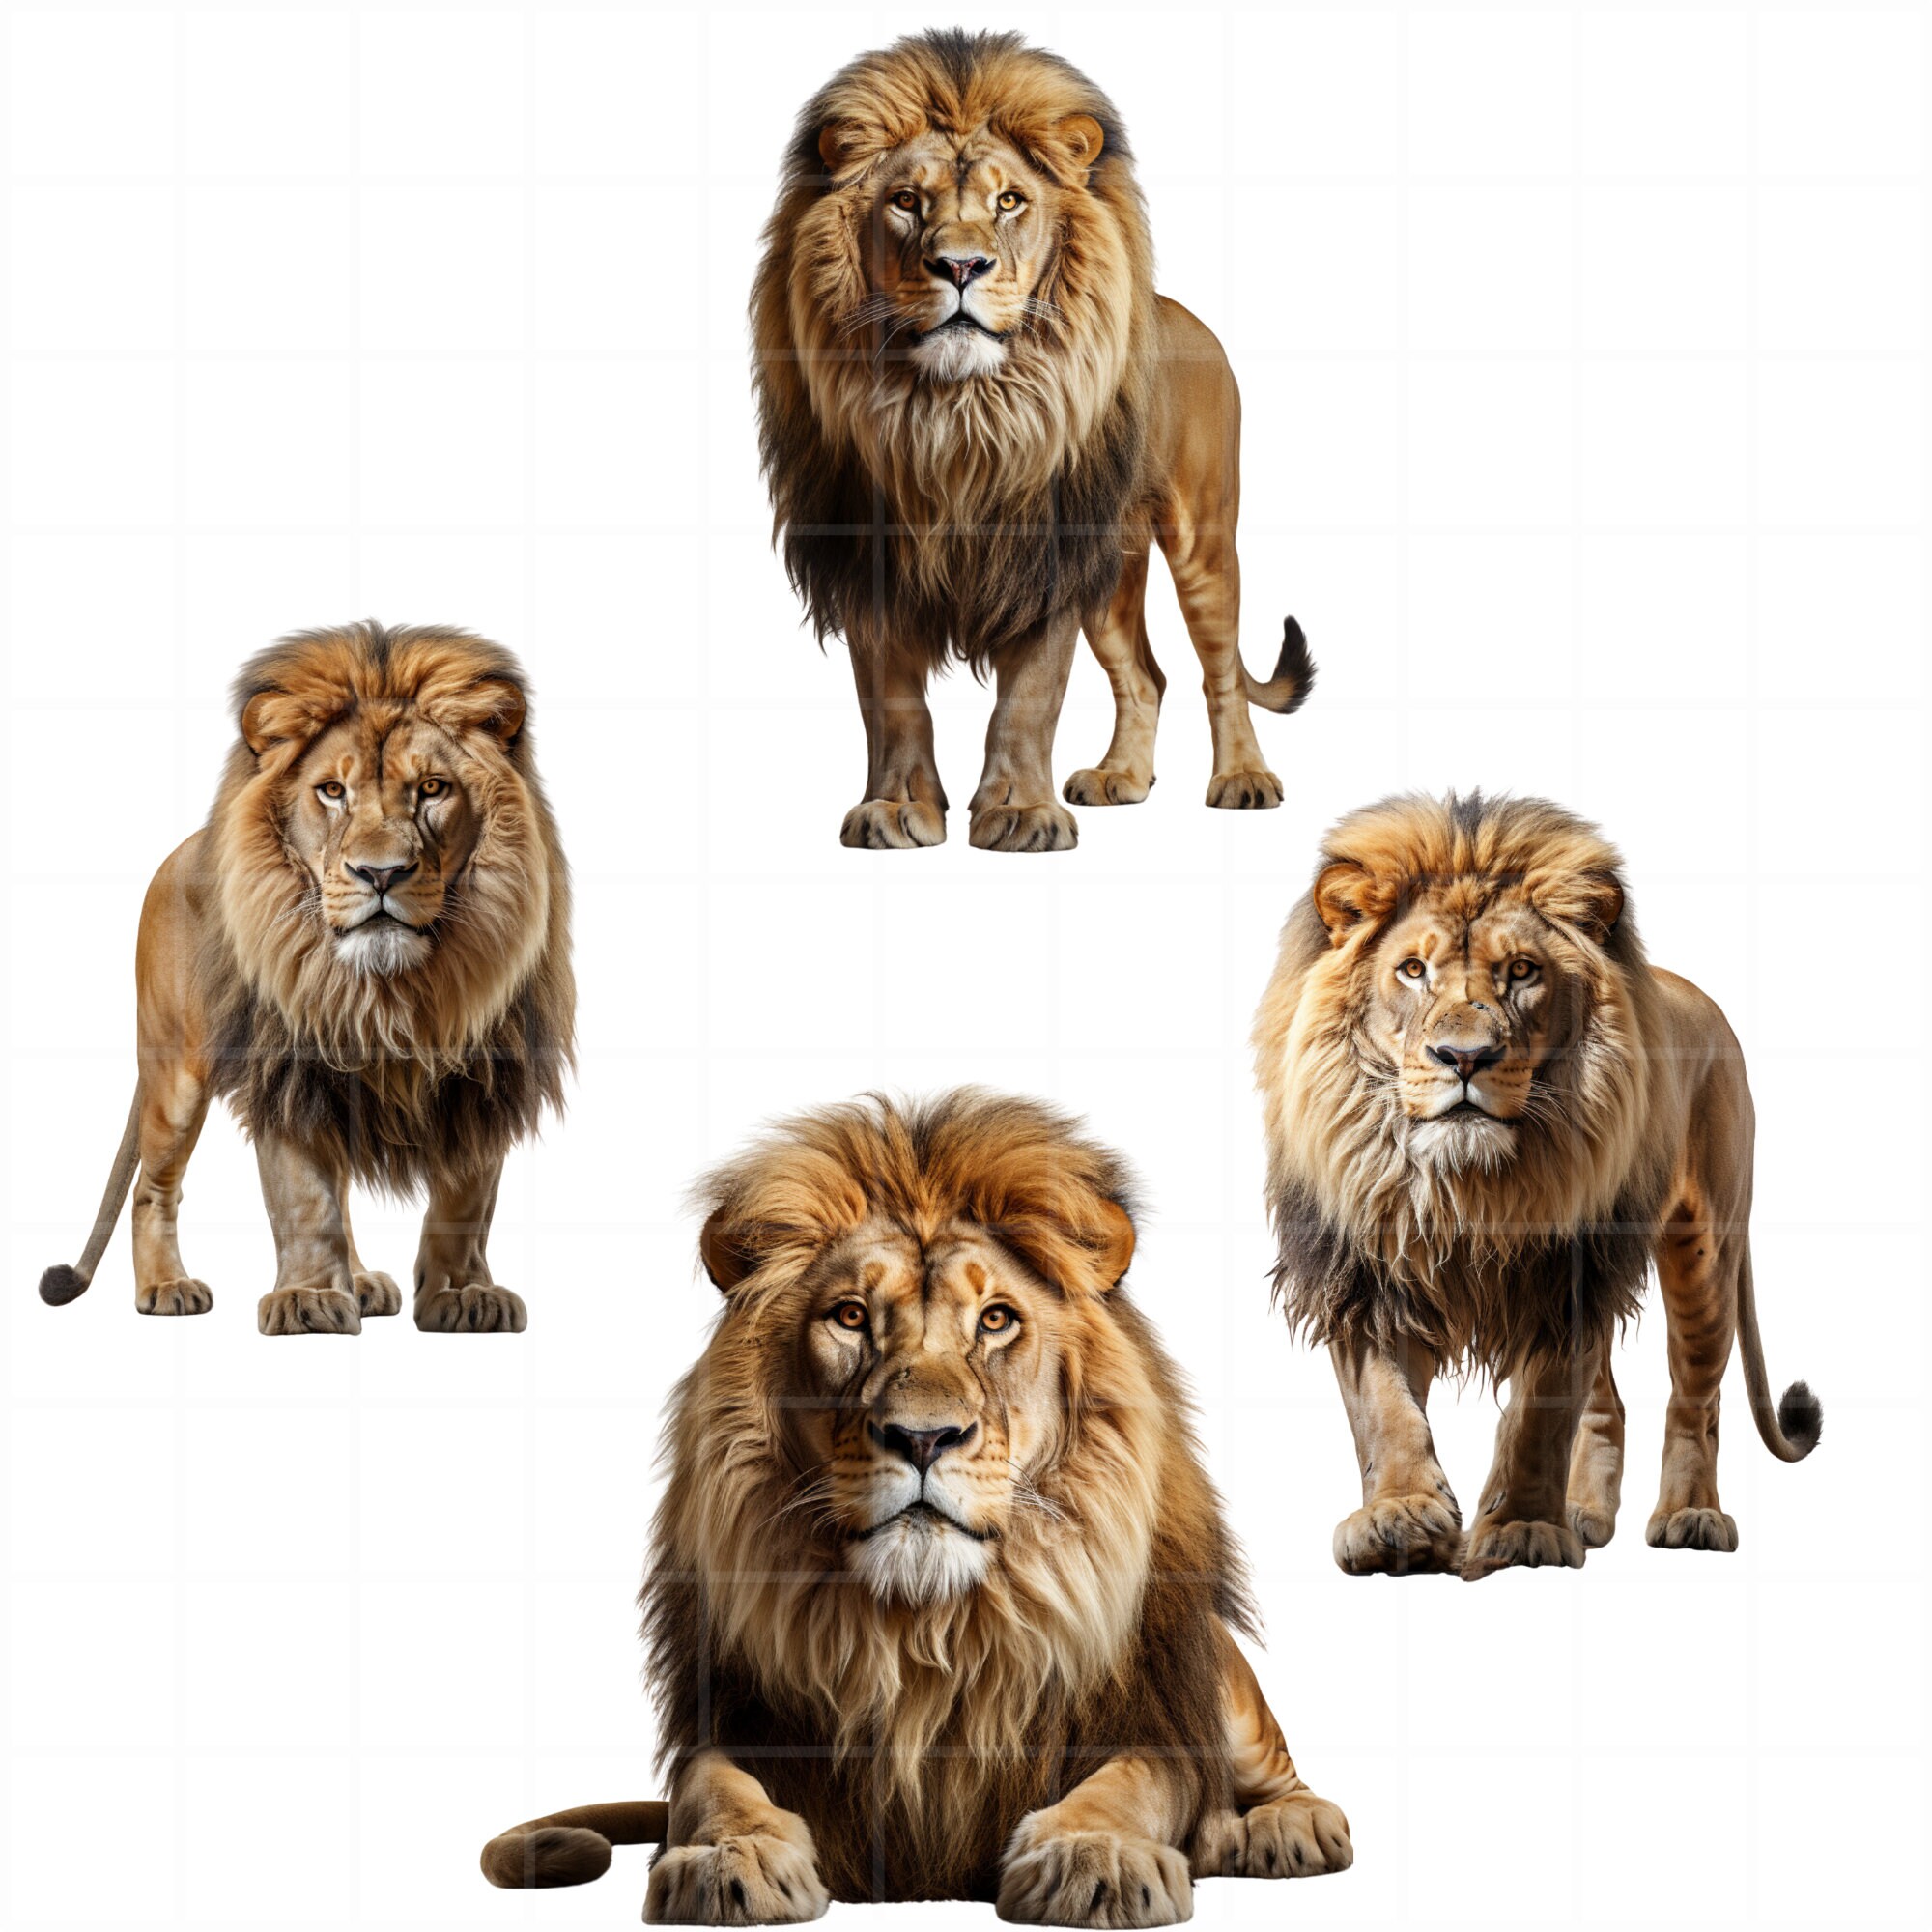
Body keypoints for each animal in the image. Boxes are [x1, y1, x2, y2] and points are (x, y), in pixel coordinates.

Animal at [37, 621, 573, 1336]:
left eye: (433, 789)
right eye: (332, 791)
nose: (381, 873)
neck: (390, 993)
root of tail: (182, 850)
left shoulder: (486, 1073)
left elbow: (465, 1201)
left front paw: (462, 1295)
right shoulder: (285, 1061)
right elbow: (303, 1196)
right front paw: (309, 1300)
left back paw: (364, 1283)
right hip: (176, 1074)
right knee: (154, 1187)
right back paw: (166, 1286)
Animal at [481, 1092, 1351, 1923]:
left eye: (996, 1320)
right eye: (850, 1316)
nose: (923, 1437)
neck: (928, 1634)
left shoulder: (1150, 1721)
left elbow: (1132, 1784)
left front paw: (1092, 1857)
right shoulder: (742, 1726)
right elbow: (712, 1790)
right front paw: (732, 1860)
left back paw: (1283, 1828)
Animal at [753, 29, 1314, 854]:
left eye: (1008, 201)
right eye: (906, 201)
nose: (960, 265)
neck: (956, 417)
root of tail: (1185, 316)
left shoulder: (1046, 553)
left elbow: (1028, 698)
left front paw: (1019, 812)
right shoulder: (870, 554)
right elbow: (892, 702)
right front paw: (897, 808)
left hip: (1201, 539)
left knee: (1219, 672)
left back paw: (1243, 780)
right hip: (1113, 570)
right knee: (1144, 676)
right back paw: (1121, 779)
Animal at [1251, 793, 1820, 1582]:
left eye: (1521, 971)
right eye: (1412, 969)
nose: (1464, 1057)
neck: (1468, 1187)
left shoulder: (1569, 1272)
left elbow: (1540, 1413)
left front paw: (1521, 1528)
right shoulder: (1361, 1269)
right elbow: (1384, 1408)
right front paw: (1401, 1520)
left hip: (1705, 1251)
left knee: (1696, 1397)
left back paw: (1689, 1517)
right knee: (1607, 1402)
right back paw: (1584, 1514)